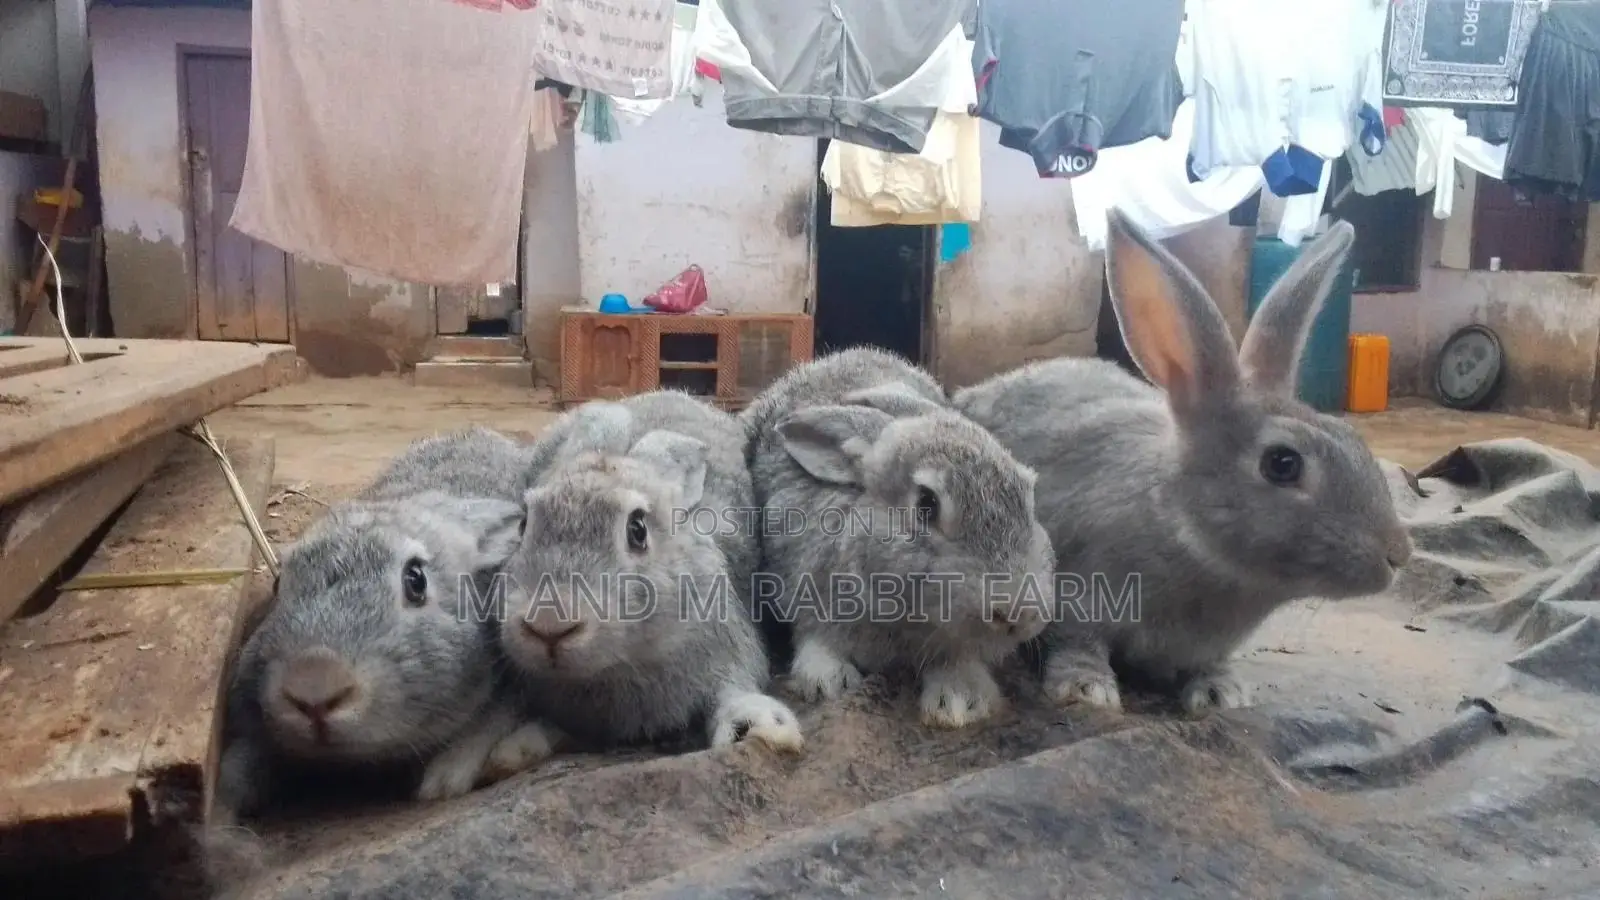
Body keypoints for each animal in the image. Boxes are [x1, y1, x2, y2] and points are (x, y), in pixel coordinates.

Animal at [492, 390, 804, 756]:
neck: (621, 663)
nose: (549, 626)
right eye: (523, 525)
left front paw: (764, 731)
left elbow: (732, 695)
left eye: (638, 530)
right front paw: (511, 752)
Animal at [743, 346, 1056, 729]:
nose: (1020, 614)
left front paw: (960, 701)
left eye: (1029, 495)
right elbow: (816, 639)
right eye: (926, 503)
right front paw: (830, 681)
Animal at [951, 208, 1414, 716]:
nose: (1398, 555)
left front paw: (1220, 694)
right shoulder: (1076, 596)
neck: (1184, 533)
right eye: (1282, 463)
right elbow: (1078, 643)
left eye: (1354, 438)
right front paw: (1086, 689)